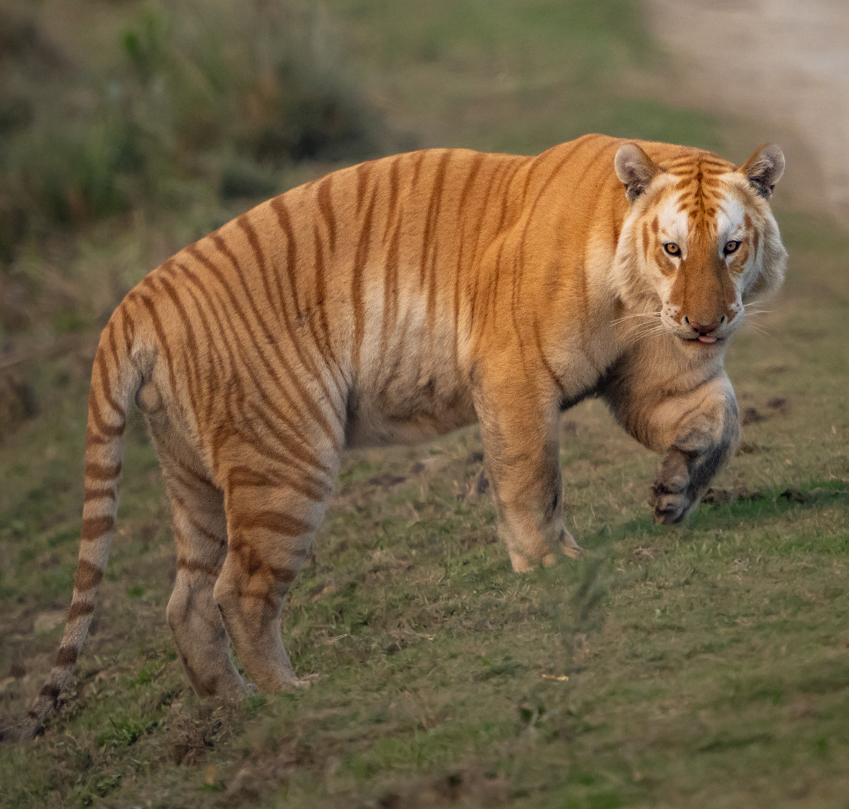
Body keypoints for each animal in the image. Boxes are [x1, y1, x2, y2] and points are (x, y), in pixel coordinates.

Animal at [20, 133, 786, 738]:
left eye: (729, 247)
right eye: (672, 249)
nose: (705, 324)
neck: (639, 300)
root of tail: (139, 296)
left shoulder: (653, 375)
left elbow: (721, 419)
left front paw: (673, 492)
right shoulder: (514, 372)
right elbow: (531, 475)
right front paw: (551, 563)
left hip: (194, 479)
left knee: (185, 602)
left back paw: (234, 704)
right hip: (284, 462)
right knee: (238, 590)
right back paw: (289, 694)